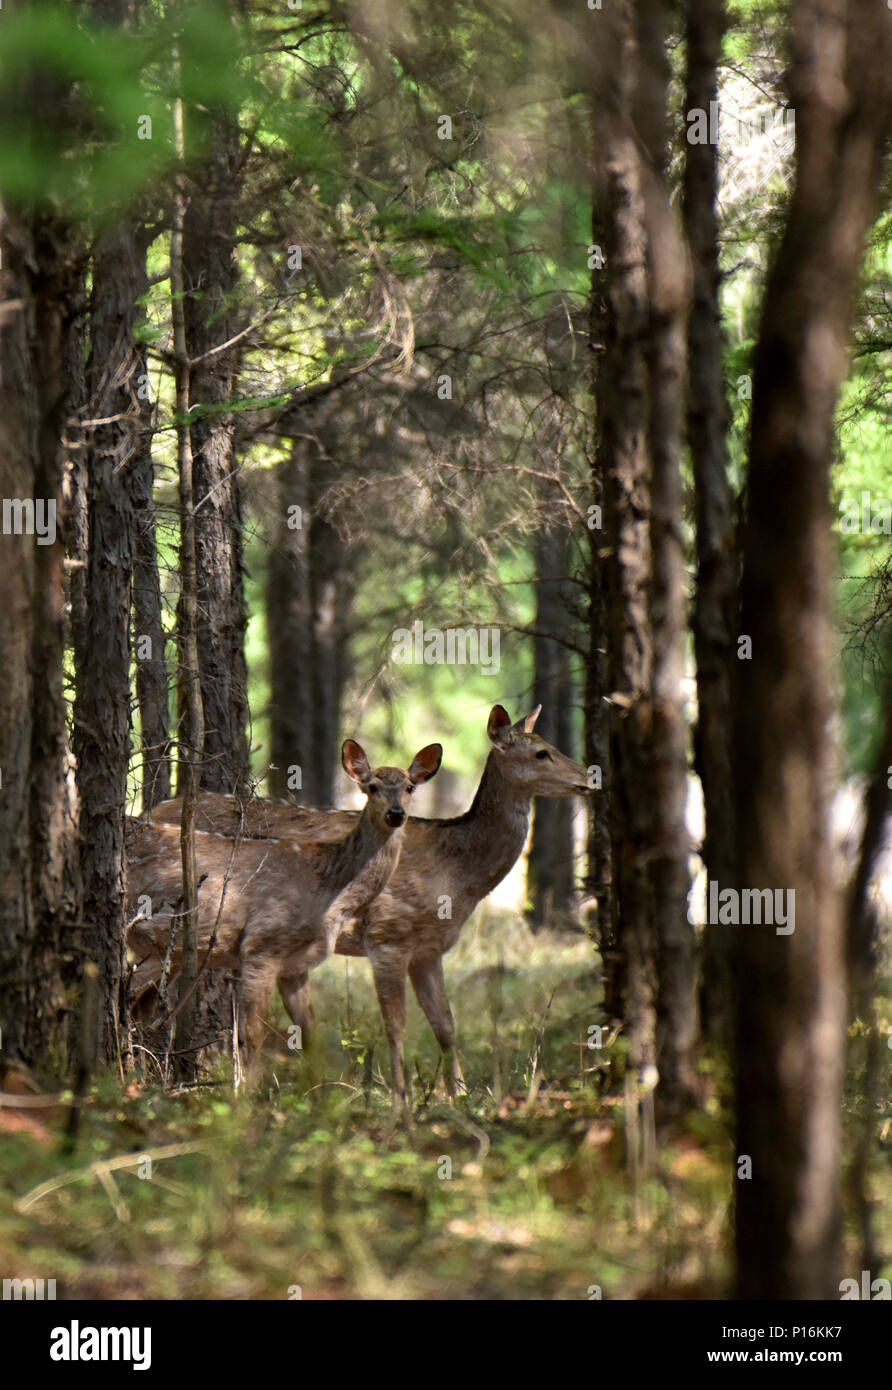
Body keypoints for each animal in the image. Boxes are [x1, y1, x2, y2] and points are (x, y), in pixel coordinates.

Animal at [125, 738, 442, 1067]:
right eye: (372, 786)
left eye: (409, 787)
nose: (396, 813)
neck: (326, 890)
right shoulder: (261, 945)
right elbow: (252, 1037)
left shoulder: (294, 964)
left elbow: (310, 1035)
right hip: (151, 939)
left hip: (168, 952)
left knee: (140, 1008)